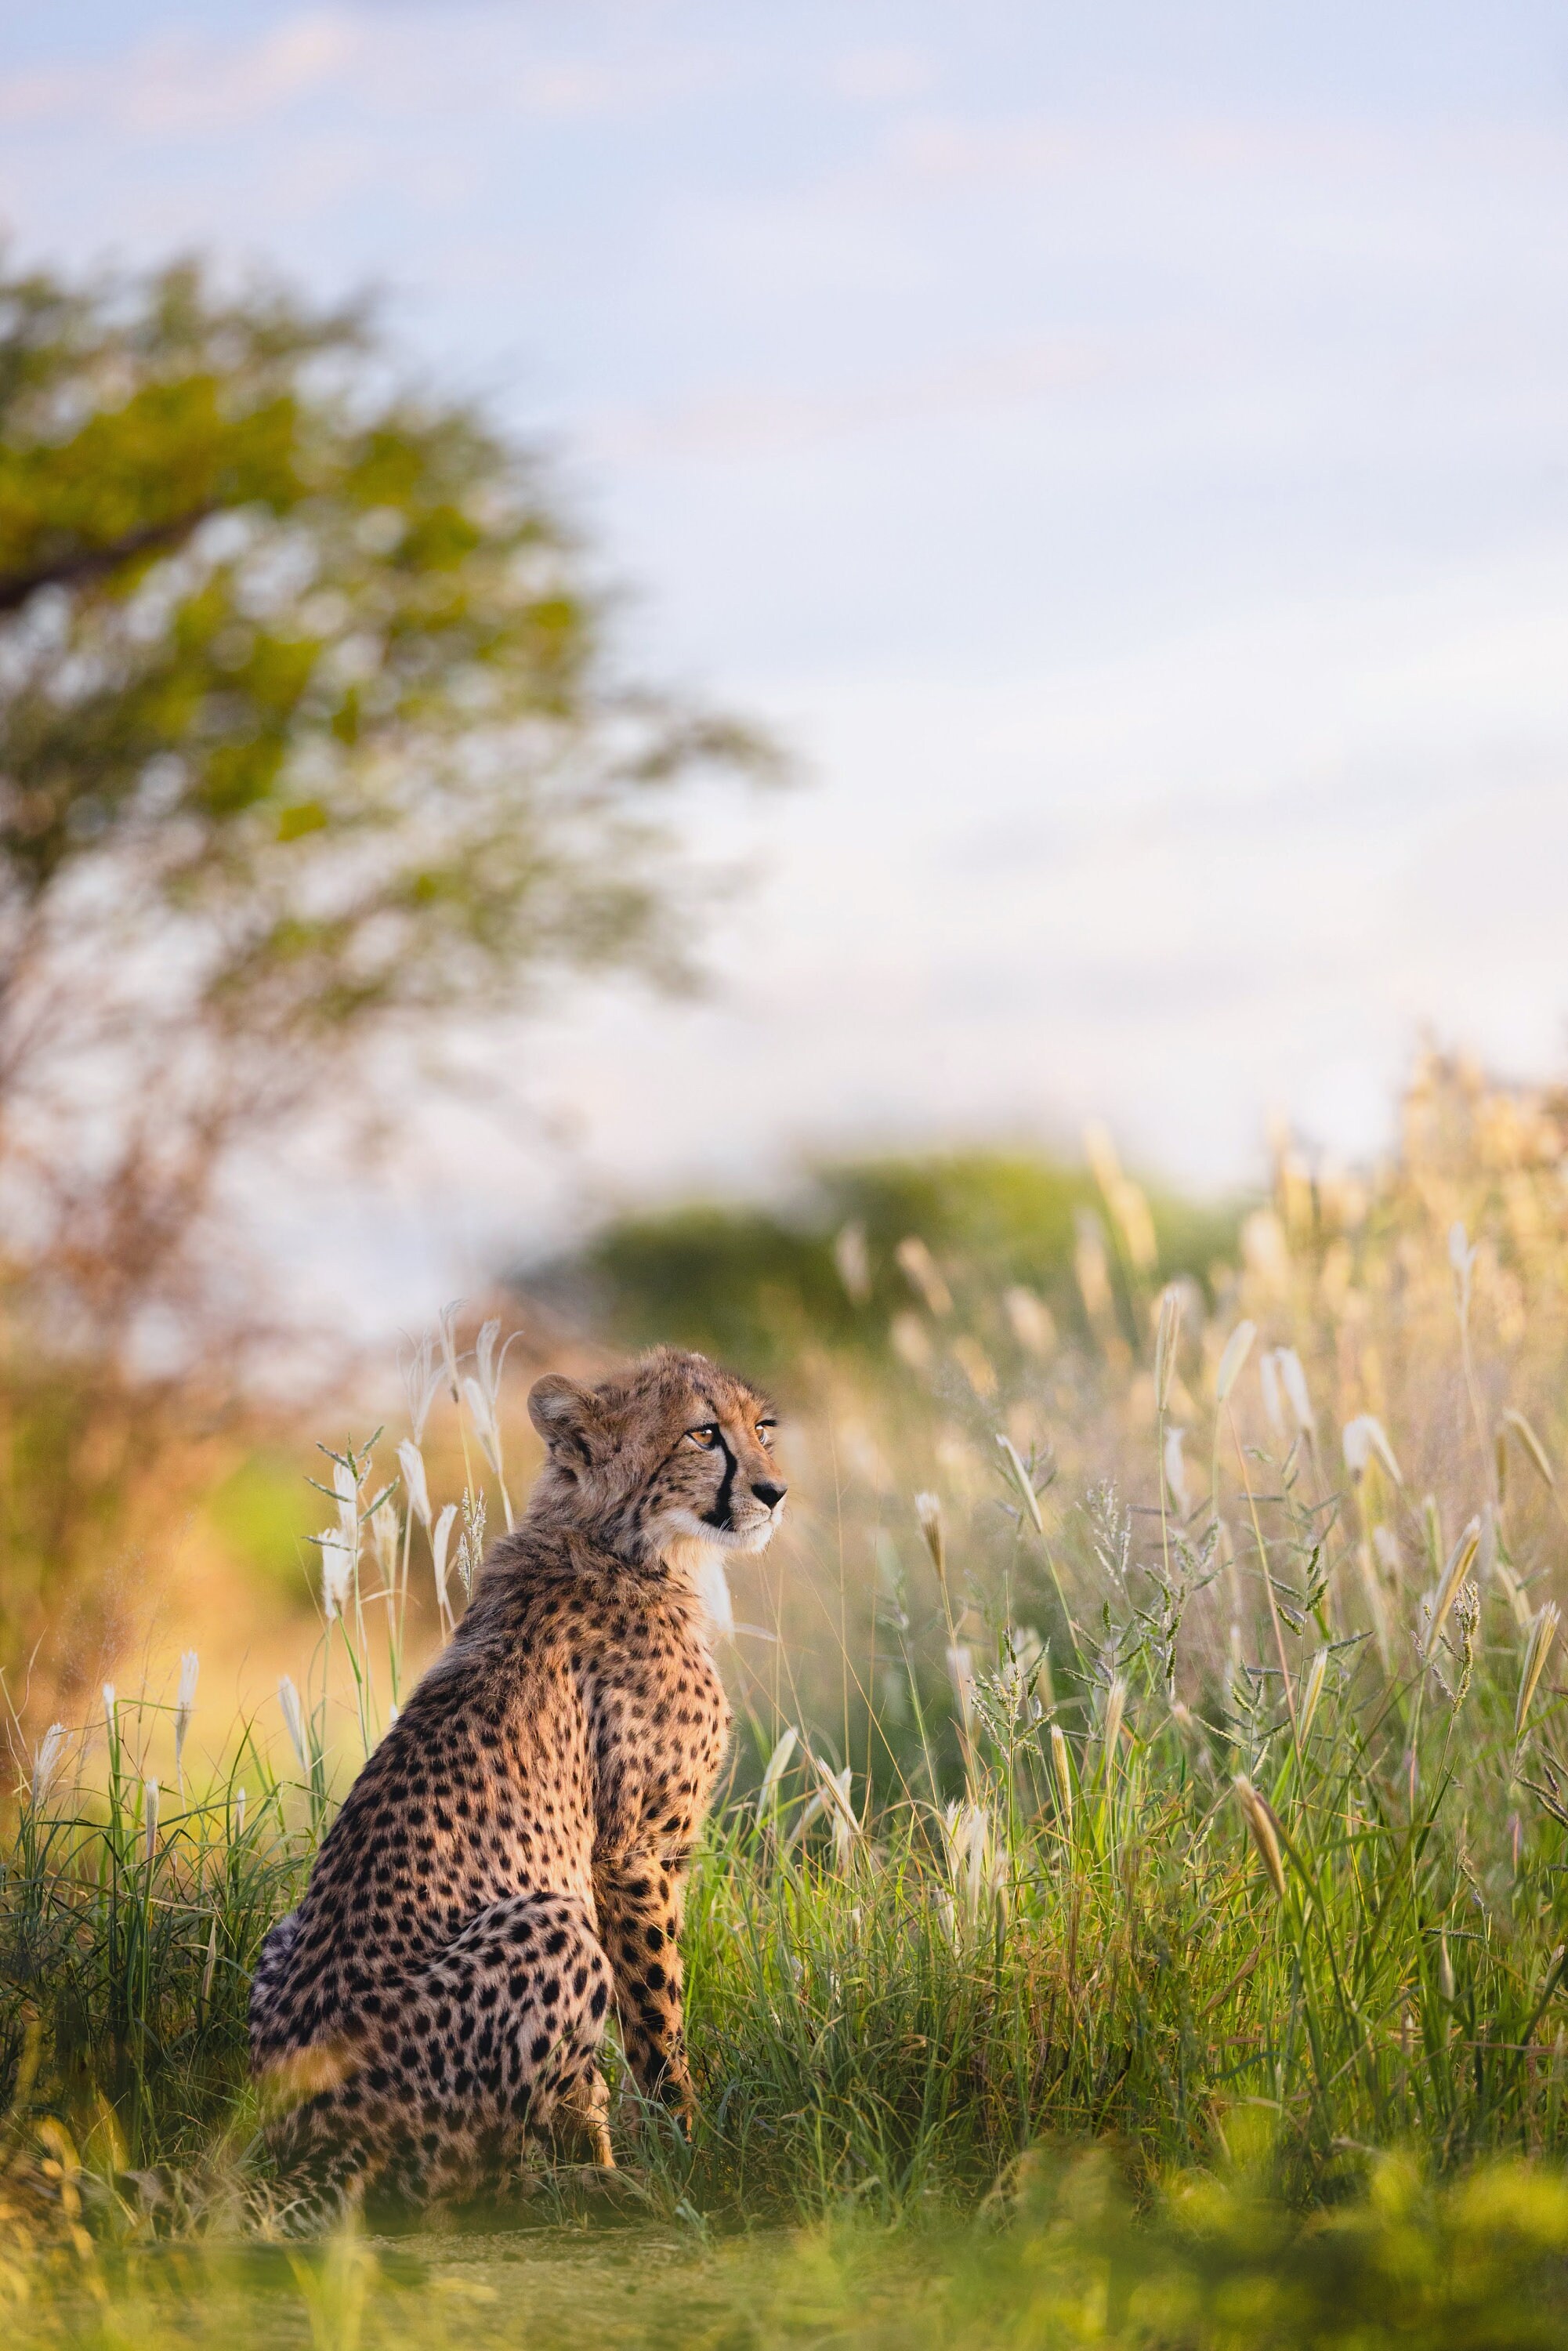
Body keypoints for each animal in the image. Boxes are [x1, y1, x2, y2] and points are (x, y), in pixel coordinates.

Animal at [247, 1345, 784, 2228]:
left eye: (763, 1426)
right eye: (703, 1434)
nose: (774, 1491)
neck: (625, 1543)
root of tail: (308, 2145)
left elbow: (591, 2075)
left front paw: (618, 2154)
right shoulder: (631, 1855)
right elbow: (657, 2020)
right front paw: (687, 2152)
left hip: (281, 1935)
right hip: (548, 1922)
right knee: (459, 2185)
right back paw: (577, 2190)